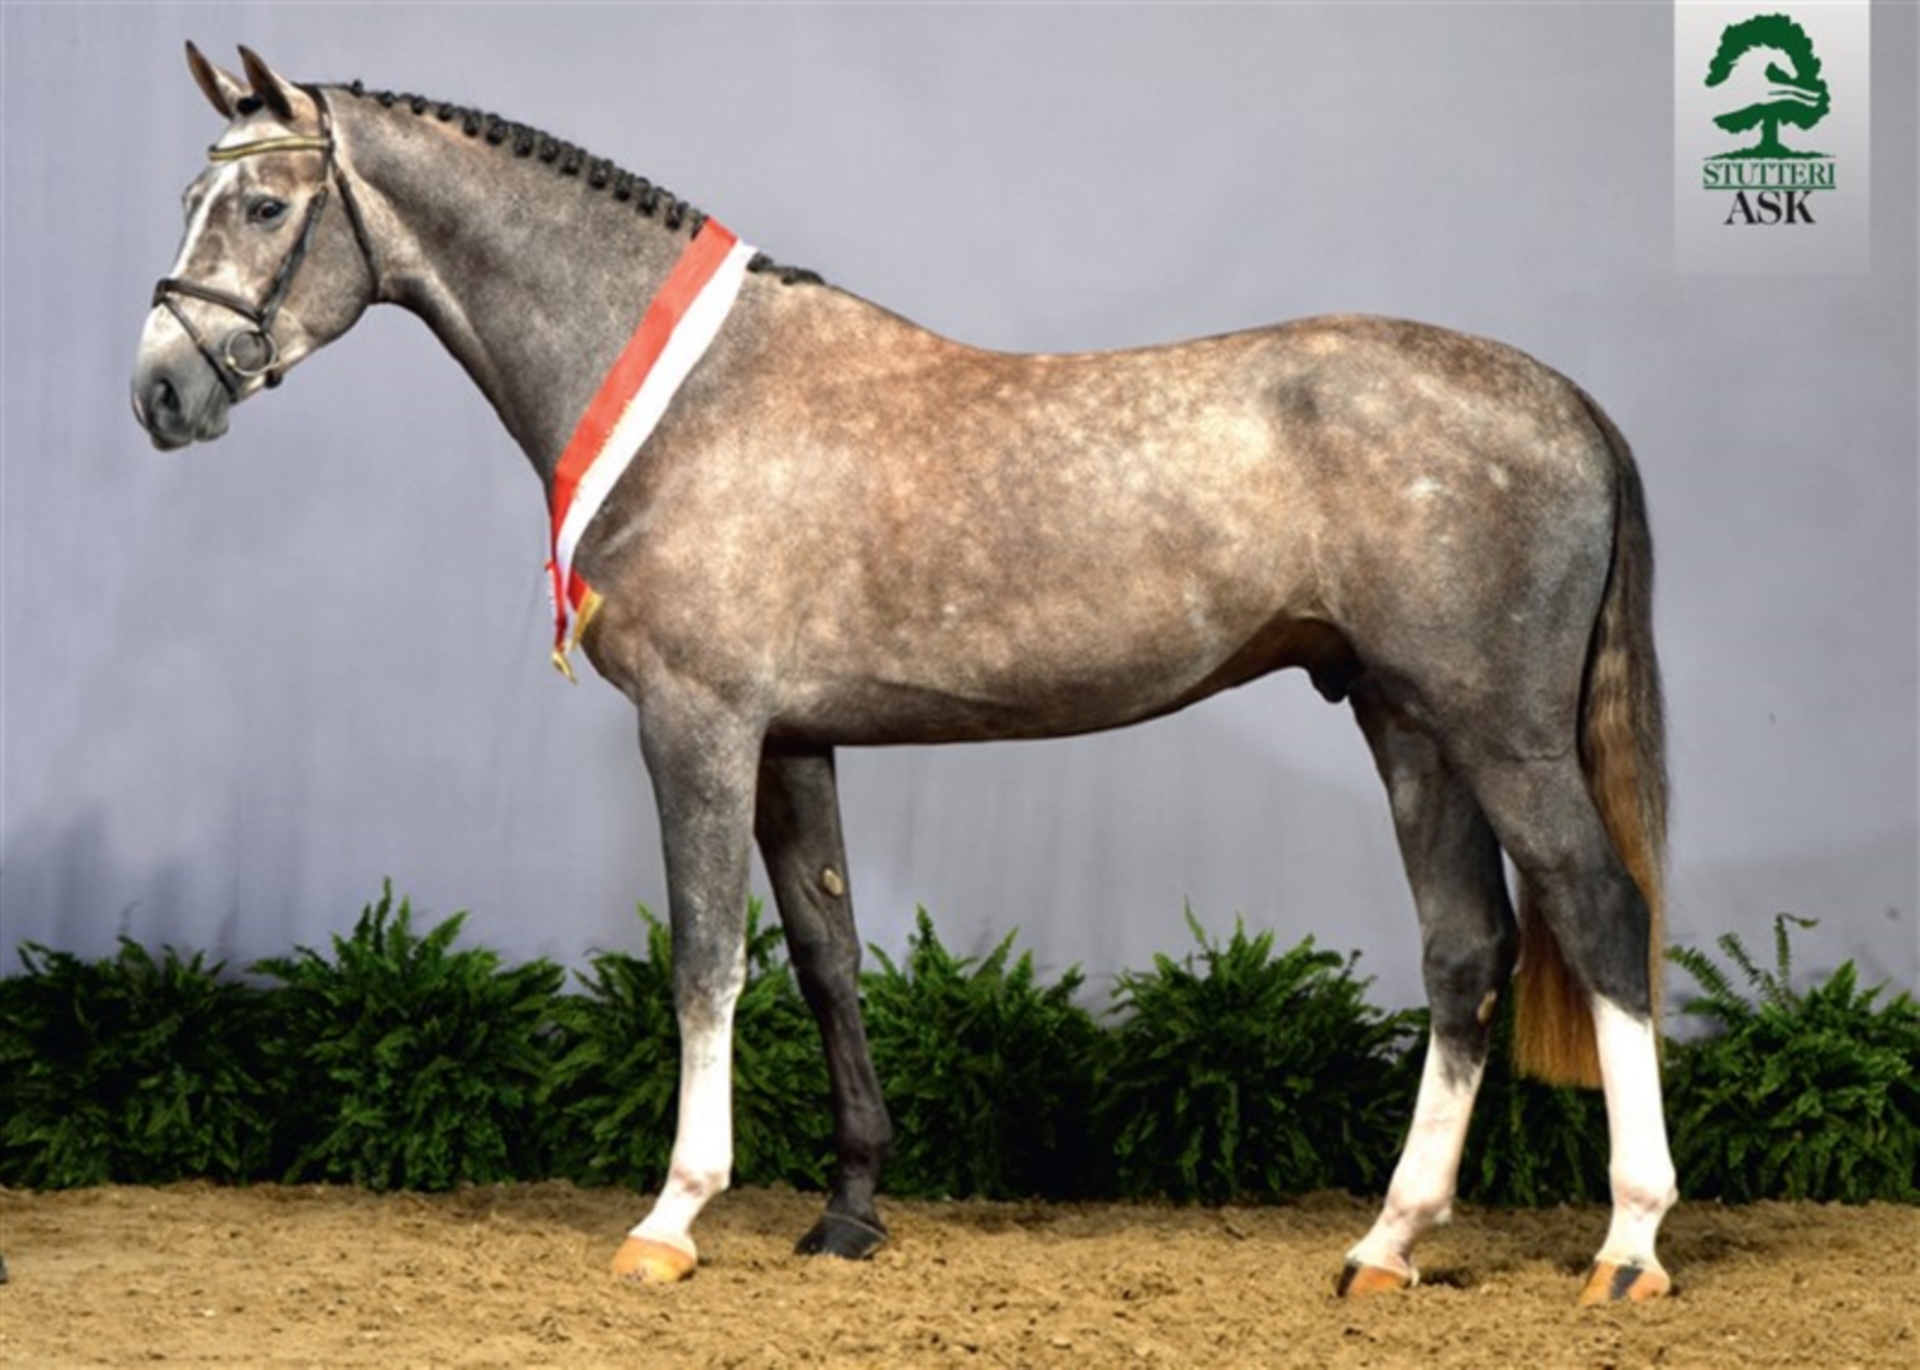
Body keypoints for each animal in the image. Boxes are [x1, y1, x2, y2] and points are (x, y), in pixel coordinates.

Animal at [131, 45, 1677, 1304]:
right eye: (192, 197)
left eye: (262, 206)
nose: (160, 388)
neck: (694, 400)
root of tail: (1569, 401)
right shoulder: (793, 741)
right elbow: (827, 954)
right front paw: (850, 1211)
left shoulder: (698, 727)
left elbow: (706, 956)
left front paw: (673, 1215)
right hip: (1407, 720)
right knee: (1467, 949)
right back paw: (1387, 1243)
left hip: (1500, 731)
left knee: (1600, 914)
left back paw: (1628, 1243)